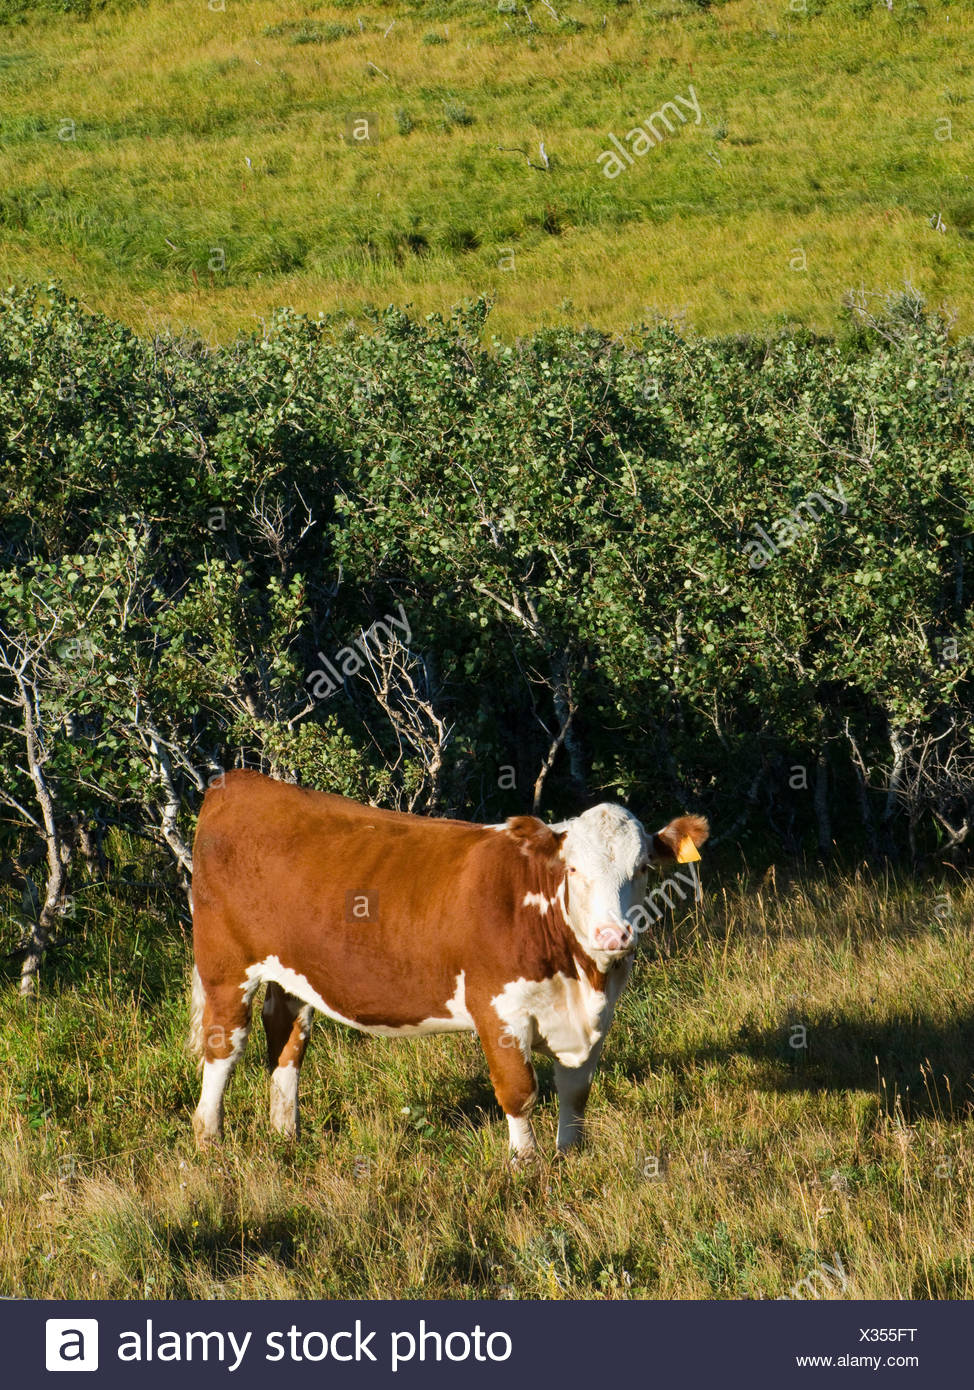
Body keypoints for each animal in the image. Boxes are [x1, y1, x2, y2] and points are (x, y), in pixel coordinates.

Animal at [188, 770, 709, 1158]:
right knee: (223, 1044)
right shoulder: (497, 1008)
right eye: (573, 869)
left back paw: (285, 1134)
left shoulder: (596, 1018)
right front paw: (526, 1165)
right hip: (225, 966)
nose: (613, 935)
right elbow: (519, 1090)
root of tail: (241, 781)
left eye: (642, 868)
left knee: (287, 1037)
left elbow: (576, 1091)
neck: (583, 977)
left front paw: (570, 1157)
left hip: (291, 972)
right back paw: (209, 1139)